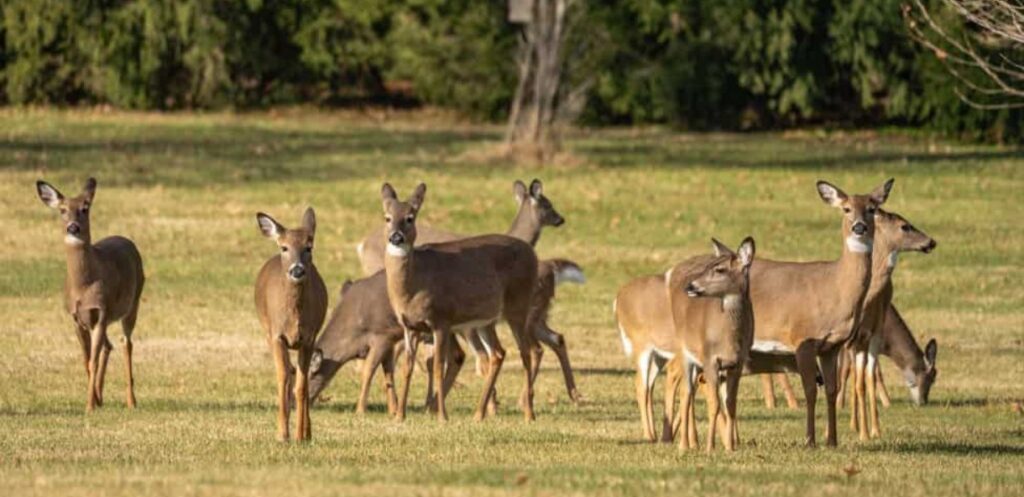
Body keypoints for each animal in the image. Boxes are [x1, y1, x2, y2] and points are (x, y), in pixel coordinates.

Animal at [36, 178, 144, 412]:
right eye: (62, 210)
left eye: (85, 208)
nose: (73, 227)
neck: (83, 287)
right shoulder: (76, 318)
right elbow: (85, 360)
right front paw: (94, 400)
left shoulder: (101, 311)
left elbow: (92, 361)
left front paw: (89, 406)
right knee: (109, 345)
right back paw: (102, 397)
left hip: (133, 302)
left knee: (126, 343)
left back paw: (131, 401)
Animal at [254, 208, 328, 442]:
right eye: (284, 247)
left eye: (308, 247)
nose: (297, 270)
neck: (294, 318)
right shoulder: (277, 335)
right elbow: (283, 380)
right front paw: (282, 434)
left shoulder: (309, 338)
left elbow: (301, 386)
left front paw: (299, 436)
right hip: (267, 333)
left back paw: (308, 433)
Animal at [380, 183, 541, 421]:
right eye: (387, 218)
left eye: (410, 218)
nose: (396, 237)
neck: (414, 286)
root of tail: (532, 252)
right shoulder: (409, 326)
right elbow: (407, 367)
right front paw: (399, 416)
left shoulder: (441, 320)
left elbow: (439, 366)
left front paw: (442, 416)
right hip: (486, 320)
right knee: (498, 353)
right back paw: (478, 414)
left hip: (518, 305)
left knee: (526, 352)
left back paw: (529, 414)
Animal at [743, 179, 893, 448]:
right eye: (846, 208)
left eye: (871, 208)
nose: (859, 227)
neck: (834, 289)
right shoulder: (802, 338)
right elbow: (811, 391)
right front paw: (810, 440)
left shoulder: (832, 346)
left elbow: (832, 390)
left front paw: (832, 440)